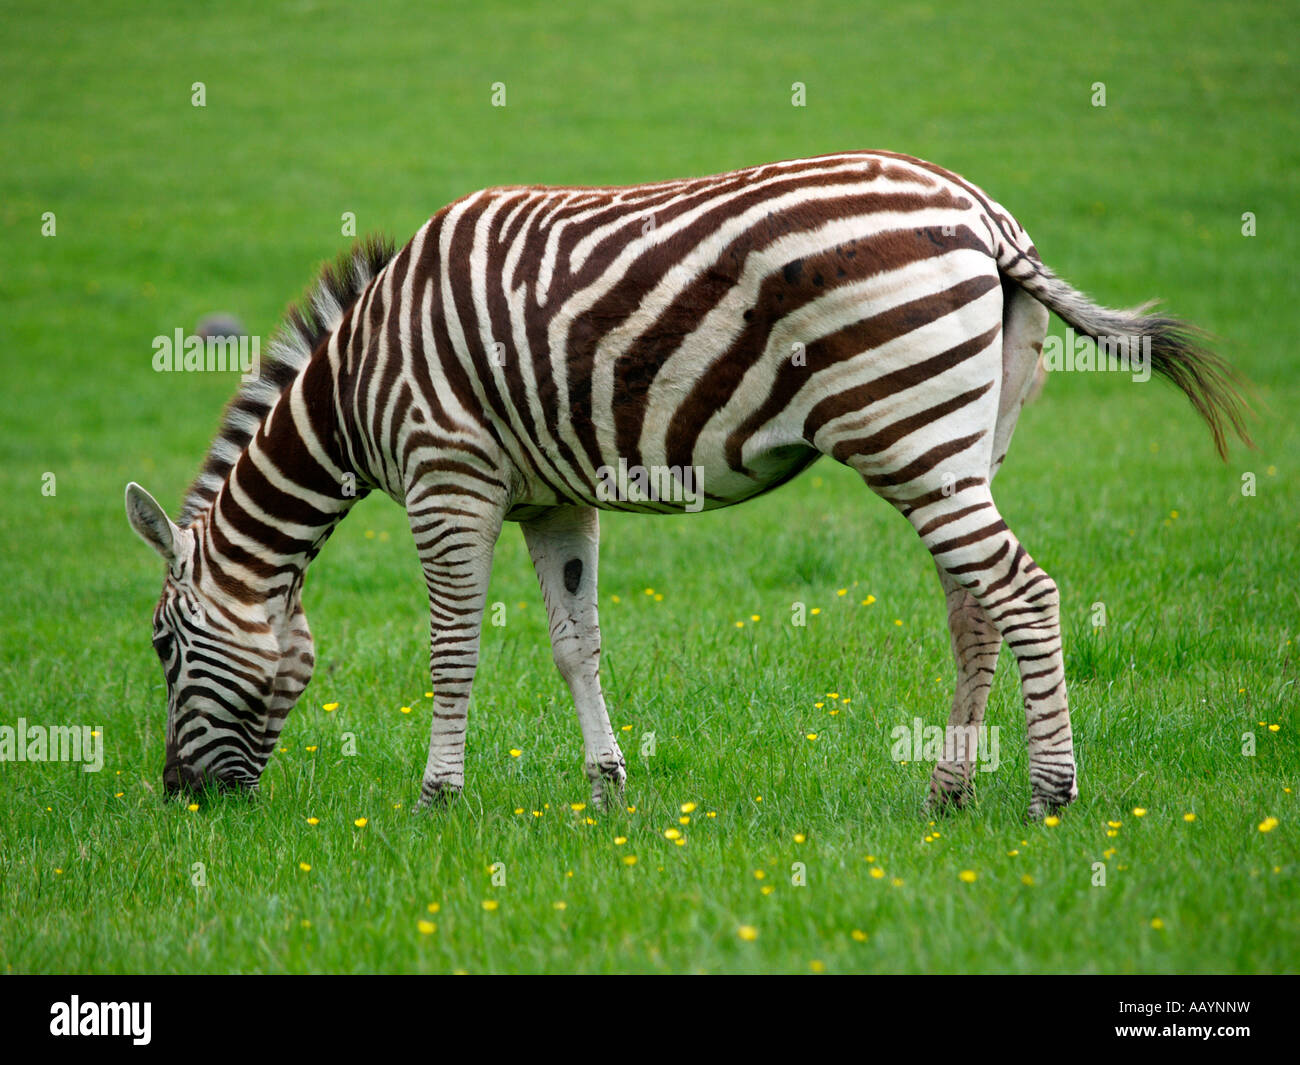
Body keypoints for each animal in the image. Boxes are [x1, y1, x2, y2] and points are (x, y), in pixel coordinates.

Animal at [125, 150, 1250, 819]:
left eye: (164, 646)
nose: (179, 797)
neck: (359, 384)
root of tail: (985, 213)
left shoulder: (450, 478)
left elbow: (451, 652)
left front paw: (437, 797)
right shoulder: (555, 497)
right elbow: (574, 645)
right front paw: (608, 788)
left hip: (907, 431)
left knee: (1024, 592)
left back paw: (1051, 792)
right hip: (966, 440)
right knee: (975, 605)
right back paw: (945, 792)